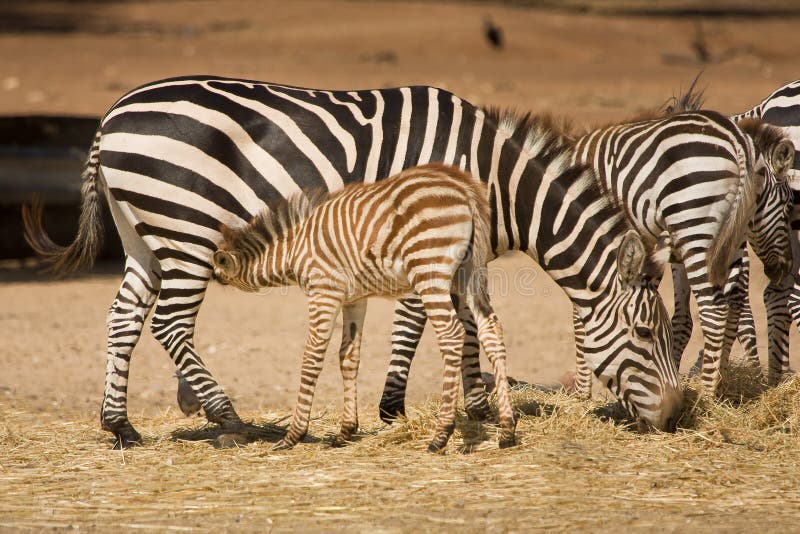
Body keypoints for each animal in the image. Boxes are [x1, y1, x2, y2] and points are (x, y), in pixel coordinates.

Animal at [211, 164, 515, 452]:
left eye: (217, 271)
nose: (210, 278)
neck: (294, 249)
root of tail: (464, 188)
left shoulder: (324, 291)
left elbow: (312, 357)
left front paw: (293, 435)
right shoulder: (354, 299)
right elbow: (348, 356)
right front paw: (346, 431)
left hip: (429, 271)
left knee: (451, 334)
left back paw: (441, 435)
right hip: (469, 273)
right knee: (490, 328)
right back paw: (507, 431)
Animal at [377, 108, 770, 415]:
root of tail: (734, 138)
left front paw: (582, 392)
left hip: (693, 219)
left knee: (714, 309)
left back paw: (707, 395)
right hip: (726, 235)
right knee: (735, 302)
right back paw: (731, 383)